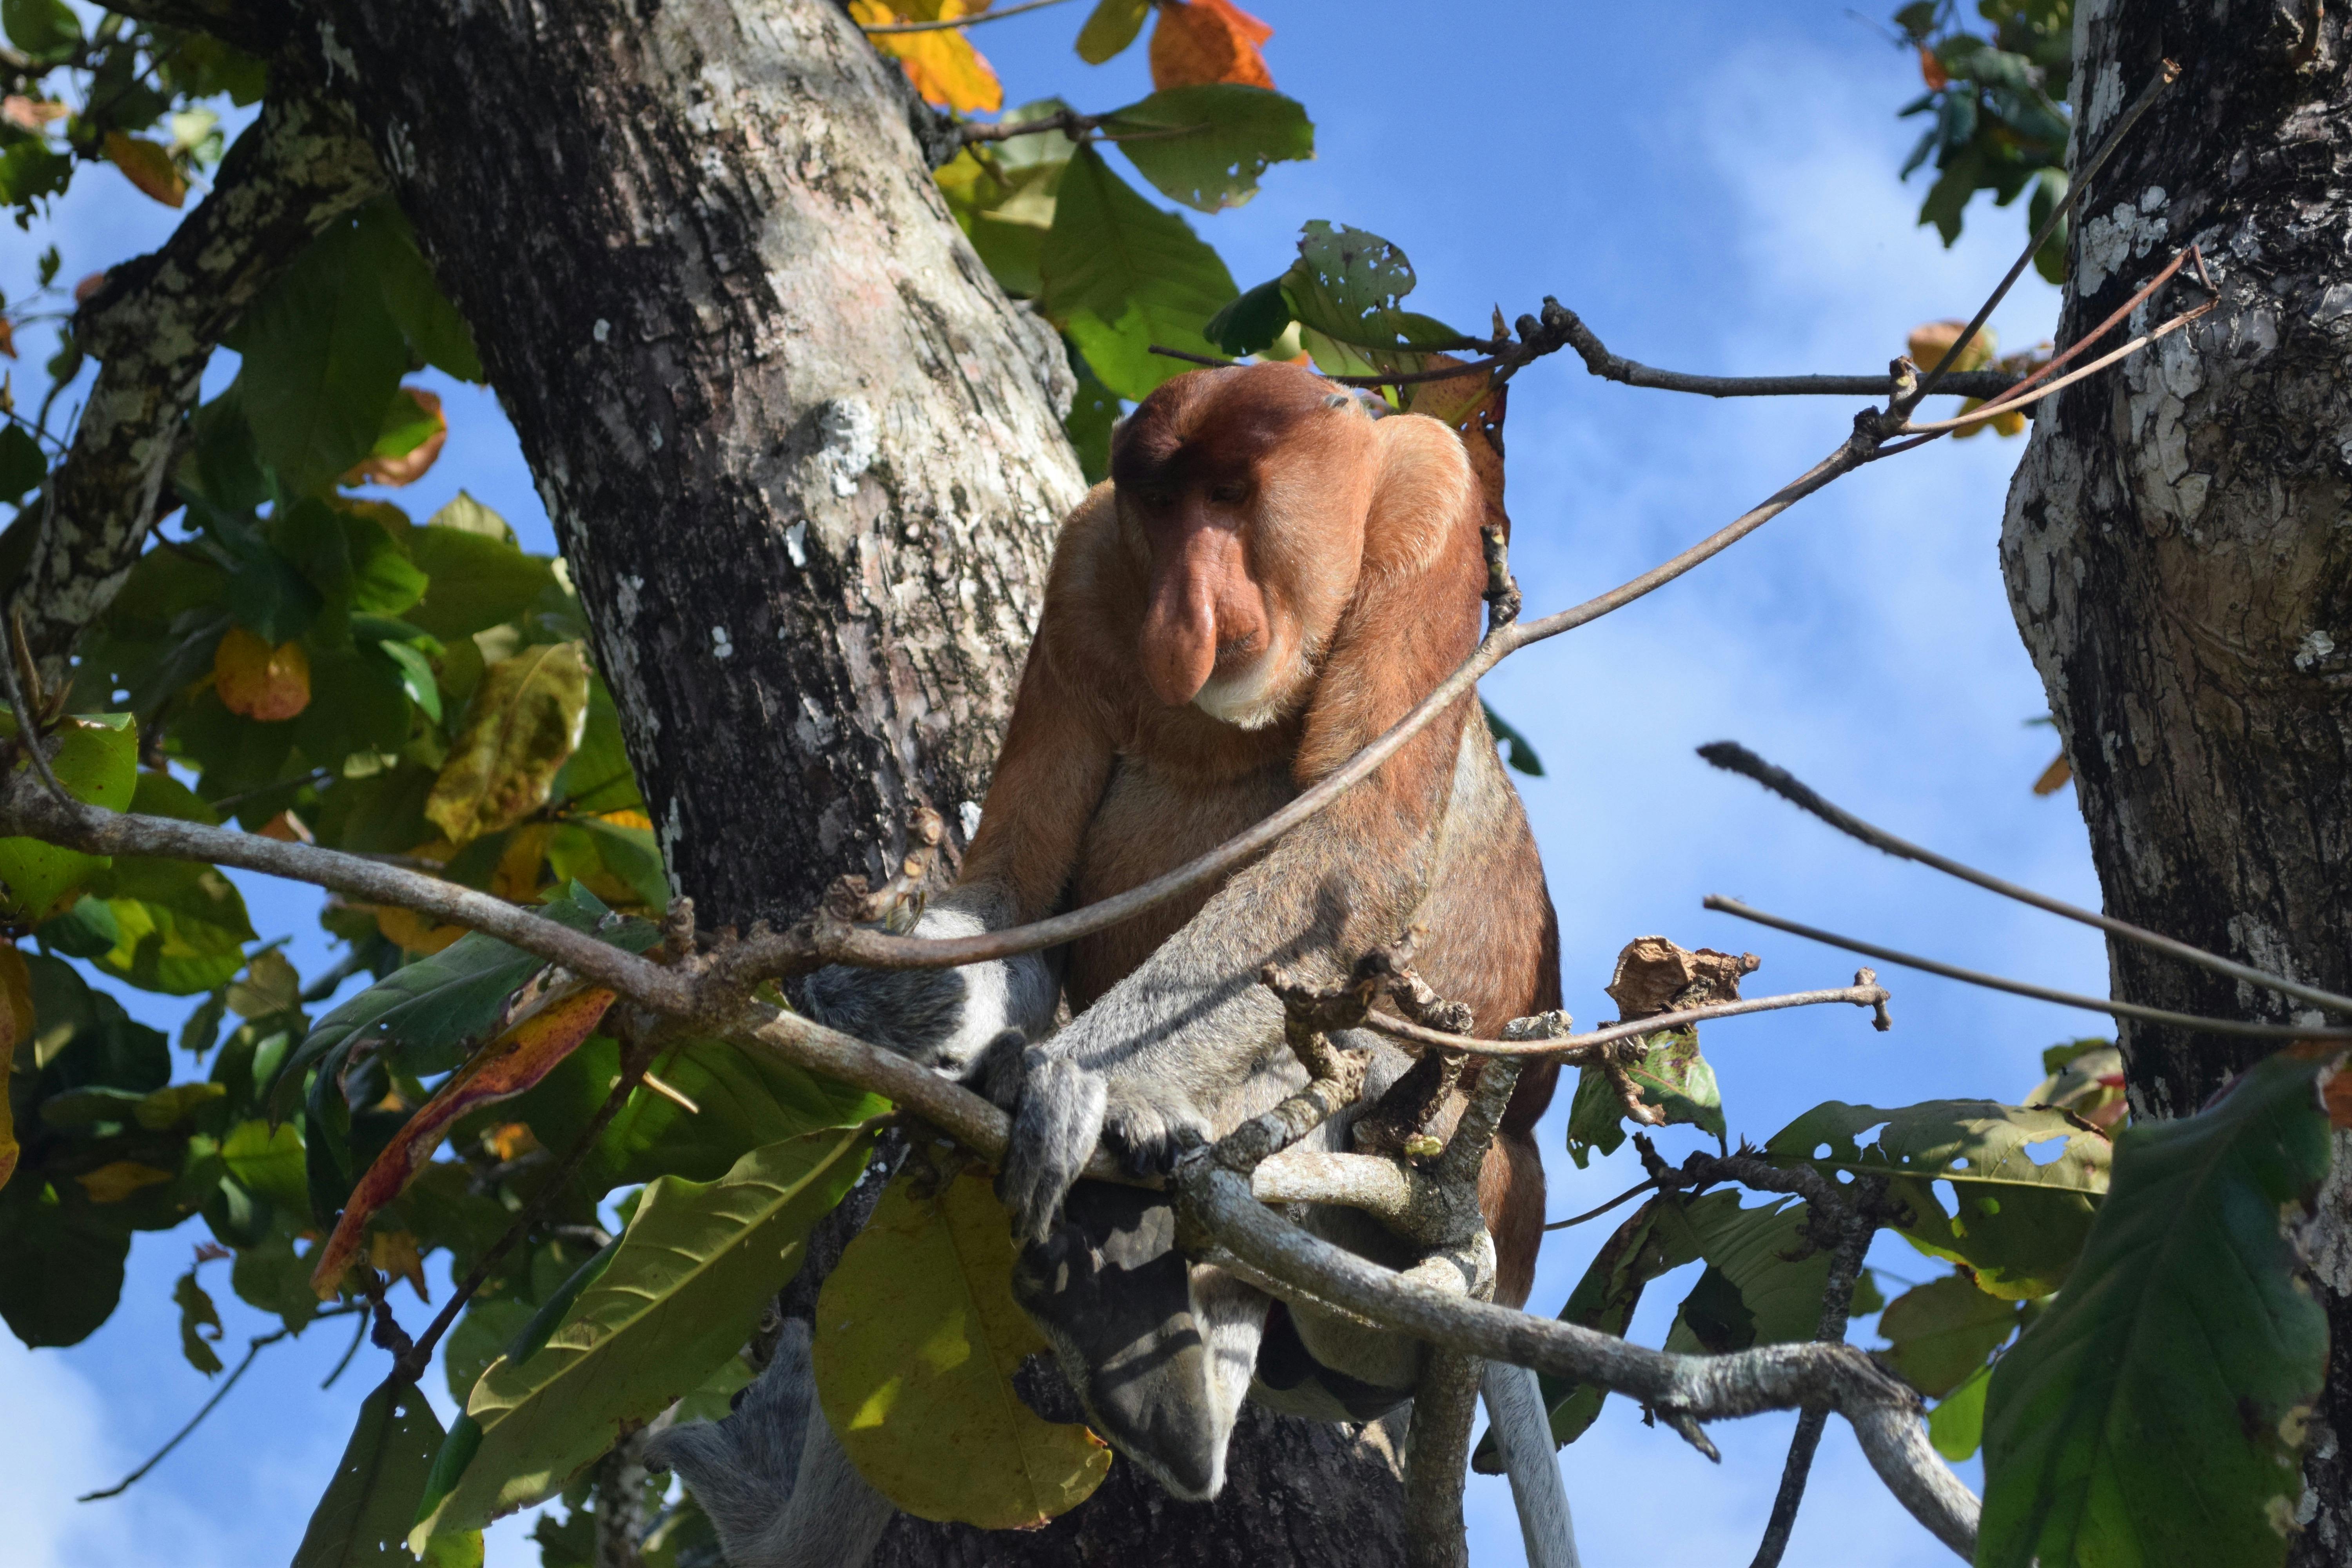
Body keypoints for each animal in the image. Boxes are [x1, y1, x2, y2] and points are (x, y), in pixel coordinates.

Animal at [650, 360, 1562, 1560]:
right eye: (1162, 508)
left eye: (1231, 495)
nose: (1184, 614)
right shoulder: (1087, 566)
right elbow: (1016, 889)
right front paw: (888, 996)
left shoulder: (1430, 496)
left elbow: (1345, 859)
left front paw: (1076, 1082)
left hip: (1458, 1188)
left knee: (1337, 1037)